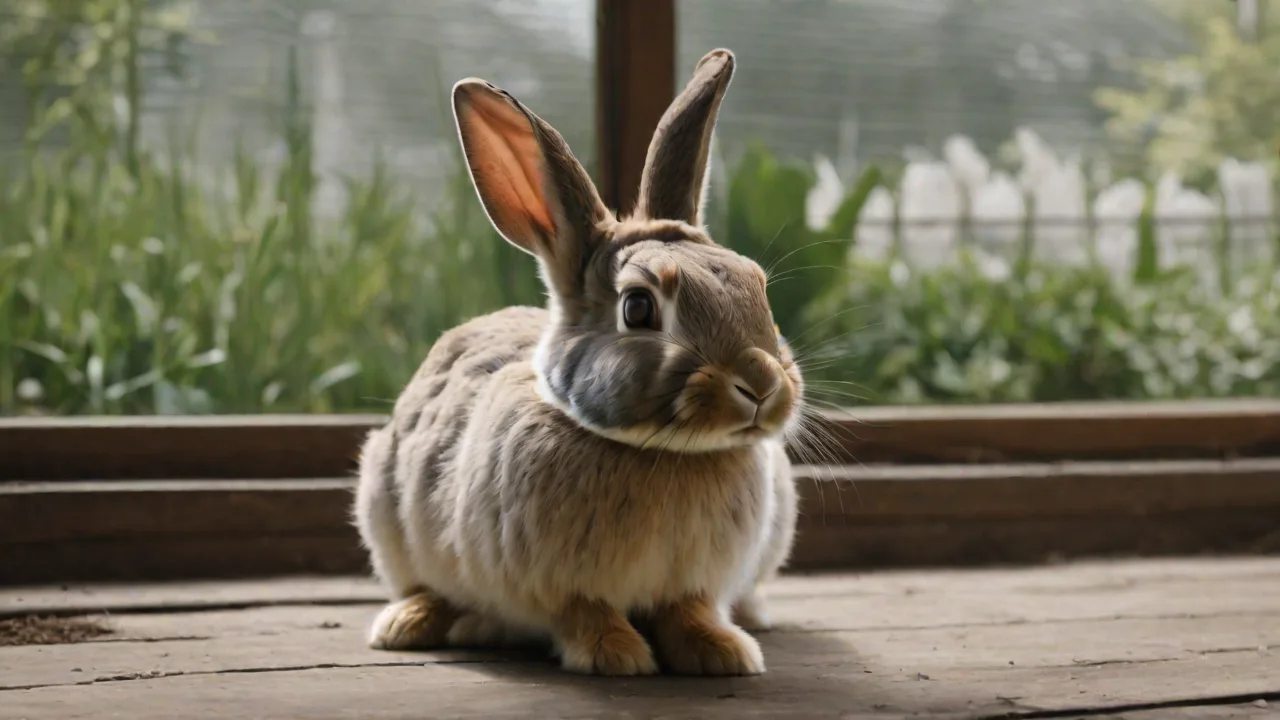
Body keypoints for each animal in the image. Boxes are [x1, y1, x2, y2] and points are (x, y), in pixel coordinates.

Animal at [353, 47, 804, 677]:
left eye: (756, 286)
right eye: (638, 308)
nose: (761, 384)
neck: (663, 453)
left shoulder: (692, 583)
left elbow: (687, 611)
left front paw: (723, 651)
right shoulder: (553, 584)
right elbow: (584, 612)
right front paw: (616, 655)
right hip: (384, 511)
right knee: (425, 587)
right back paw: (408, 624)